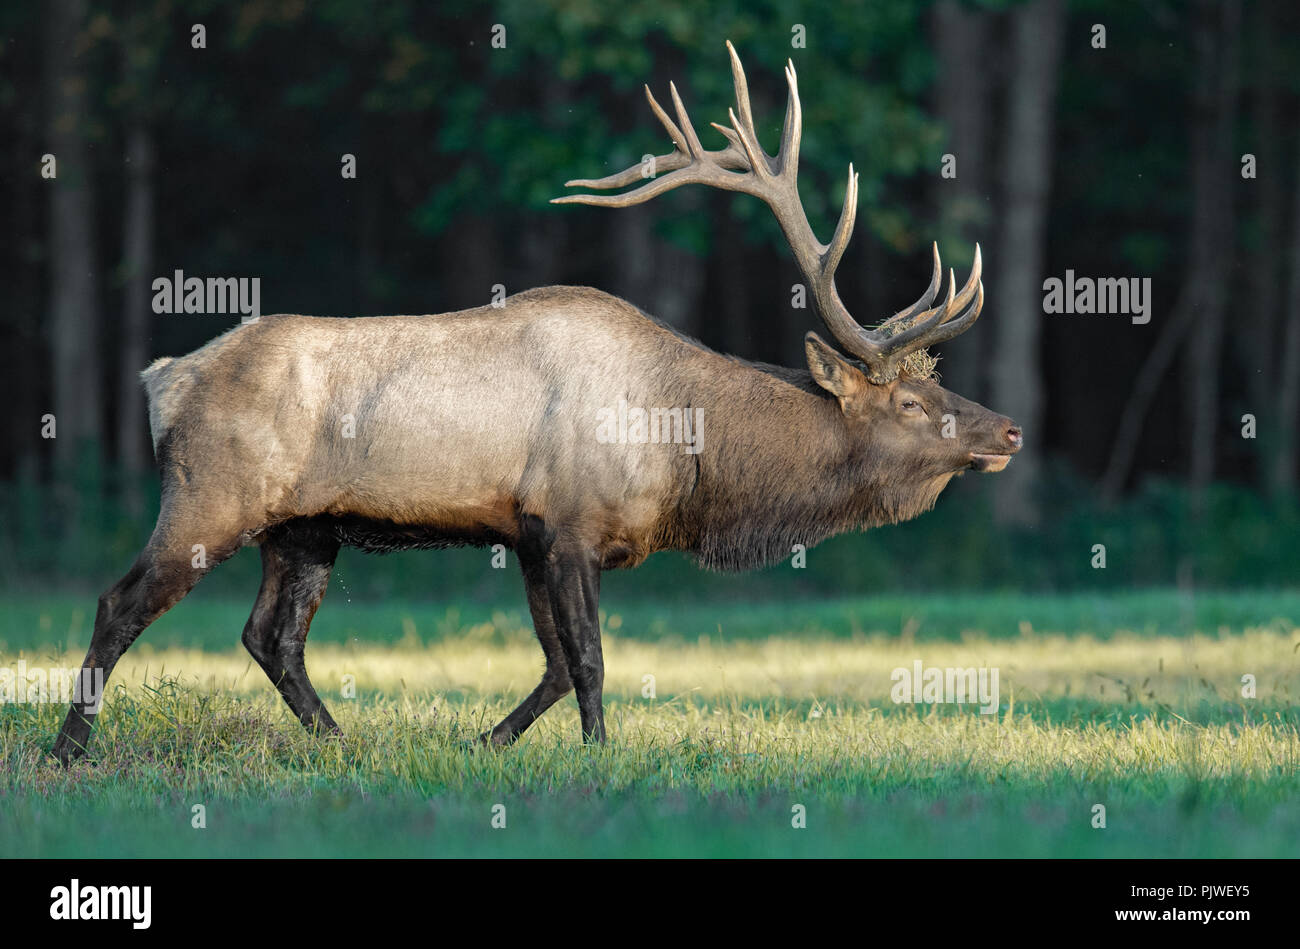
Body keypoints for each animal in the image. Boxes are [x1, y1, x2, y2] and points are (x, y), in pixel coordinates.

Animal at [51, 42, 1020, 764]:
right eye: (909, 399)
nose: (1008, 428)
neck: (691, 455)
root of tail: (162, 377)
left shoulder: (526, 532)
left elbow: (554, 664)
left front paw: (486, 742)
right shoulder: (571, 520)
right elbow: (588, 658)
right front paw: (601, 757)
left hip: (304, 526)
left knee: (270, 636)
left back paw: (342, 743)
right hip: (211, 495)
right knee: (120, 602)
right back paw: (68, 749)